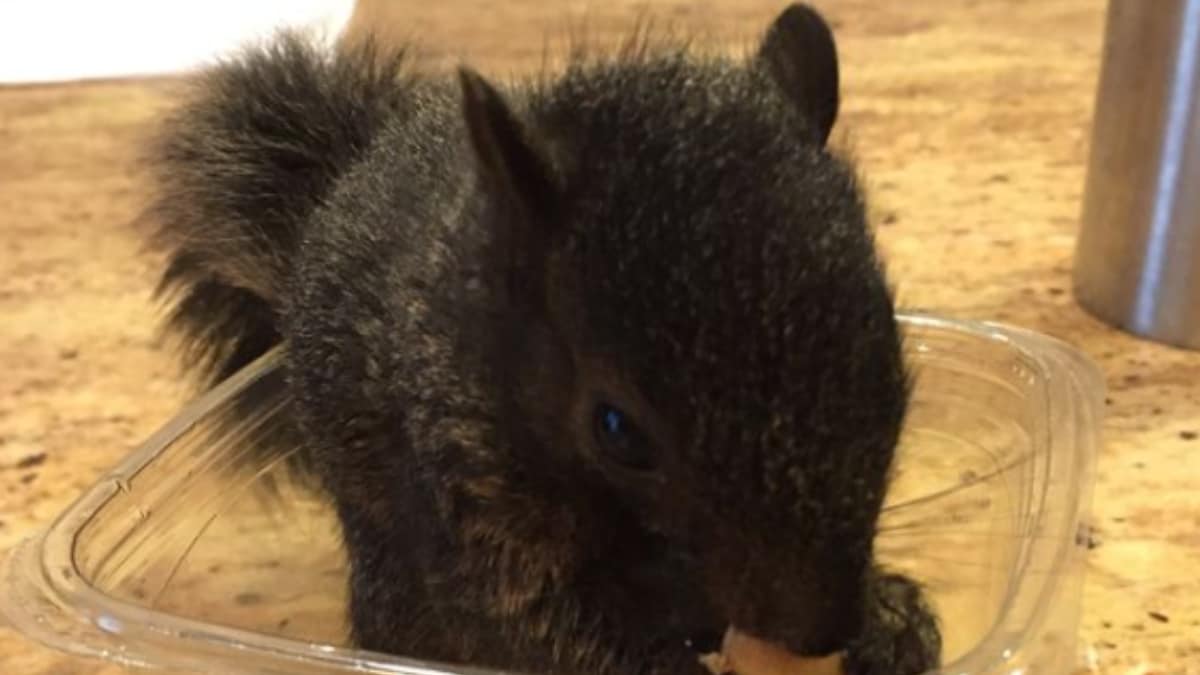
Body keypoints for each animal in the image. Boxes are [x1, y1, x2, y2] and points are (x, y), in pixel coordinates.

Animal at [141, 4, 941, 674]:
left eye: (888, 347)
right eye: (616, 429)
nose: (824, 628)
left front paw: (893, 619)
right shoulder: (467, 498)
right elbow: (534, 623)